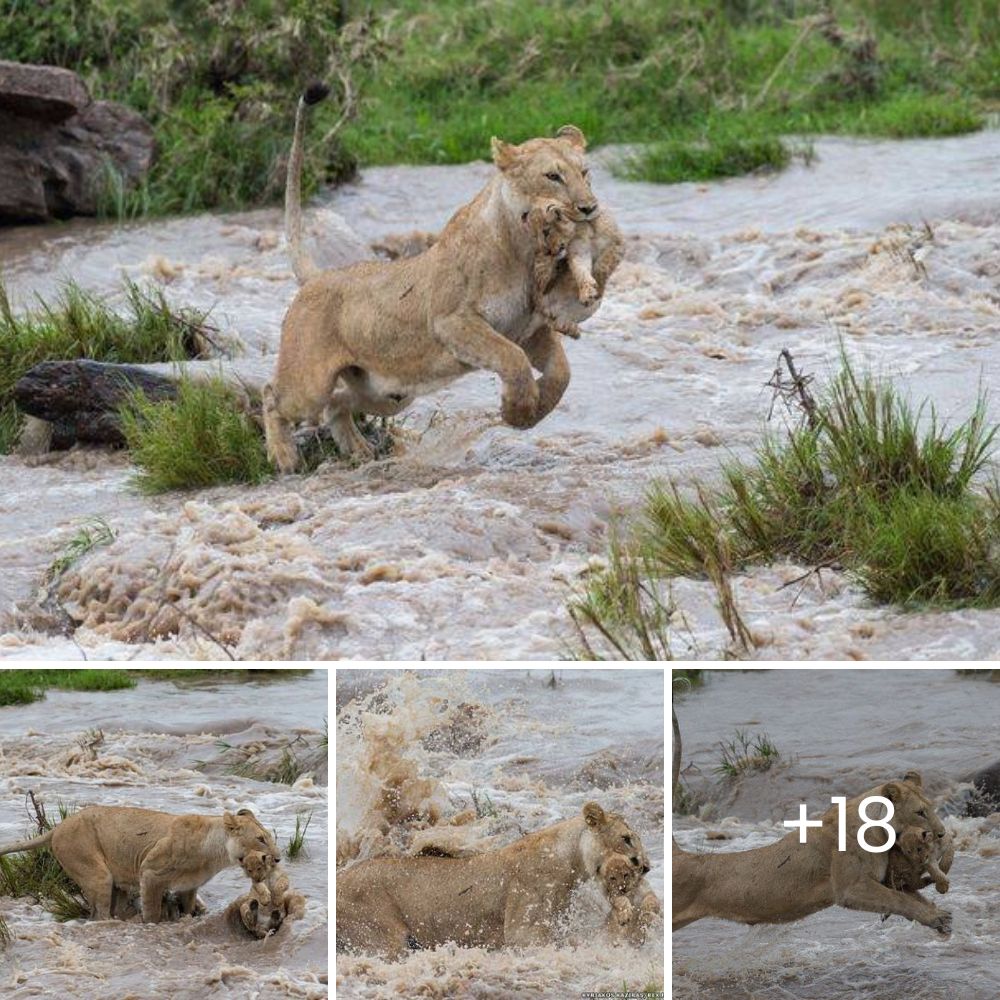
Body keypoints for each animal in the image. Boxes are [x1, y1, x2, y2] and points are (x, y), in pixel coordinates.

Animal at [0, 806, 279, 922]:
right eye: (261, 838)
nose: (278, 859)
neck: (213, 853)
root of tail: (58, 827)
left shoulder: (190, 887)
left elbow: (188, 908)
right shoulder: (151, 872)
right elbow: (152, 910)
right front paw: (152, 924)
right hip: (94, 871)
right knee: (99, 914)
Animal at [264, 86, 617, 472]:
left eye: (585, 173)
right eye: (553, 176)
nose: (589, 208)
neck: (523, 249)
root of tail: (317, 277)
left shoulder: (529, 330)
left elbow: (561, 373)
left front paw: (533, 410)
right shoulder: (452, 322)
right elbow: (512, 359)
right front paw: (517, 410)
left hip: (387, 393)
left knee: (337, 403)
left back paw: (358, 450)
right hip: (310, 383)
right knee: (274, 397)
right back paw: (284, 456)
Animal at [673, 772, 953, 935]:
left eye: (932, 808)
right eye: (920, 812)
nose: (942, 834)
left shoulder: (883, 880)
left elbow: (910, 898)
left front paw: (940, 917)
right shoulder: (850, 887)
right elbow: (898, 900)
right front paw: (937, 917)